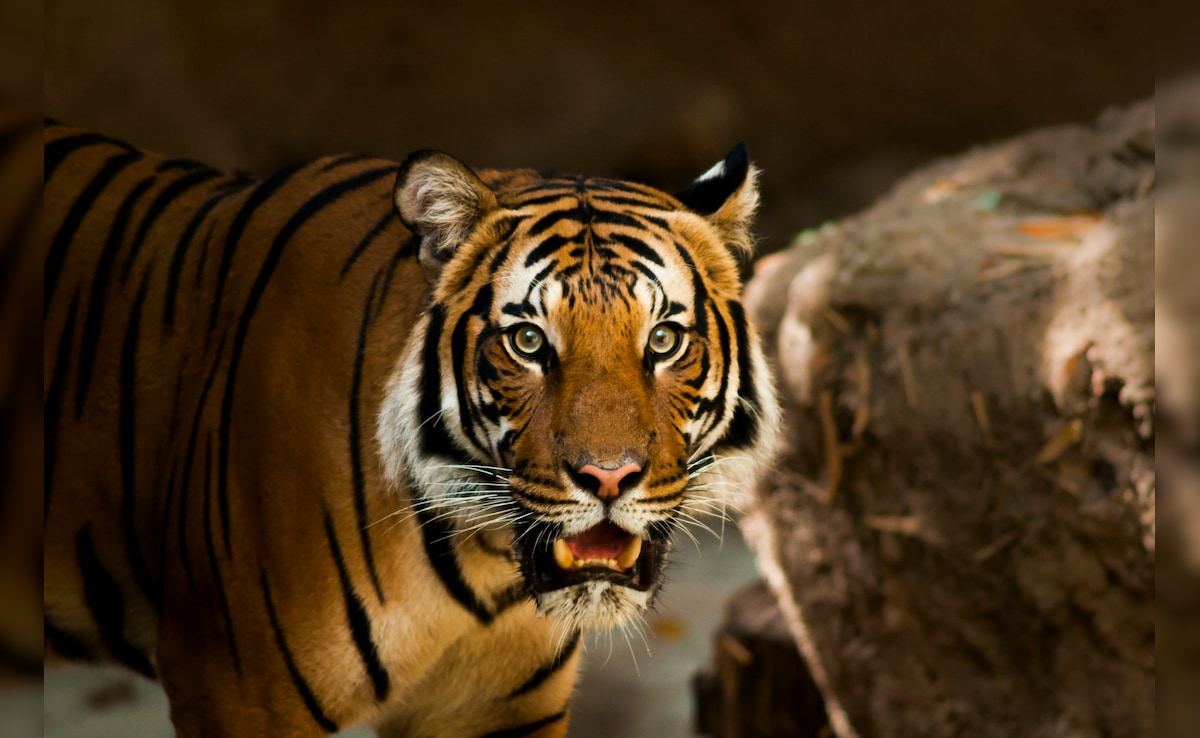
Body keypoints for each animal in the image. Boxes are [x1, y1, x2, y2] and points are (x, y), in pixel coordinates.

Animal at [41, 118, 782, 737]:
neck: (481, 566)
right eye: (528, 342)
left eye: (662, 340)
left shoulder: (498, 708)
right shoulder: (236, 690)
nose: (608, 477)